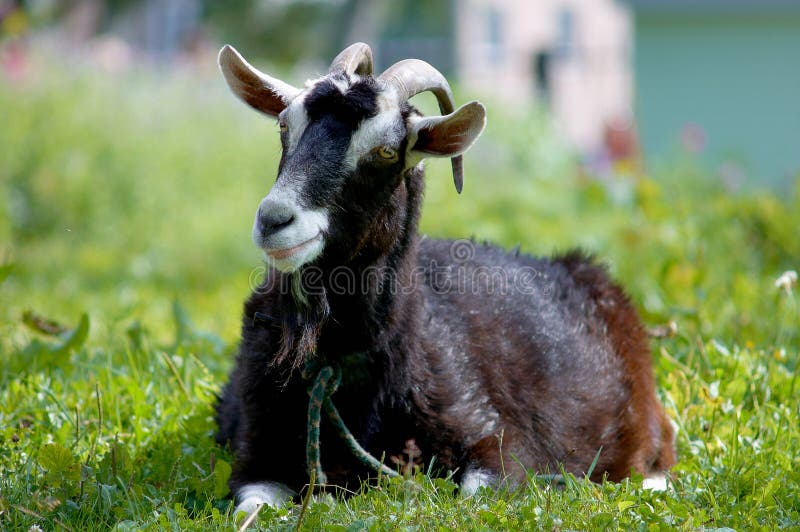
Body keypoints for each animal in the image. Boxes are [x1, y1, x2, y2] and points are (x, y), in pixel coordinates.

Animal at [214, 43, 675, 515]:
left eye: (386, 151)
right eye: (284, 125)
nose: (274, 220)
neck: (341, 364)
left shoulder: (495, 438)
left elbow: (475, 496)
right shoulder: (256, 452)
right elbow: (250, 507)